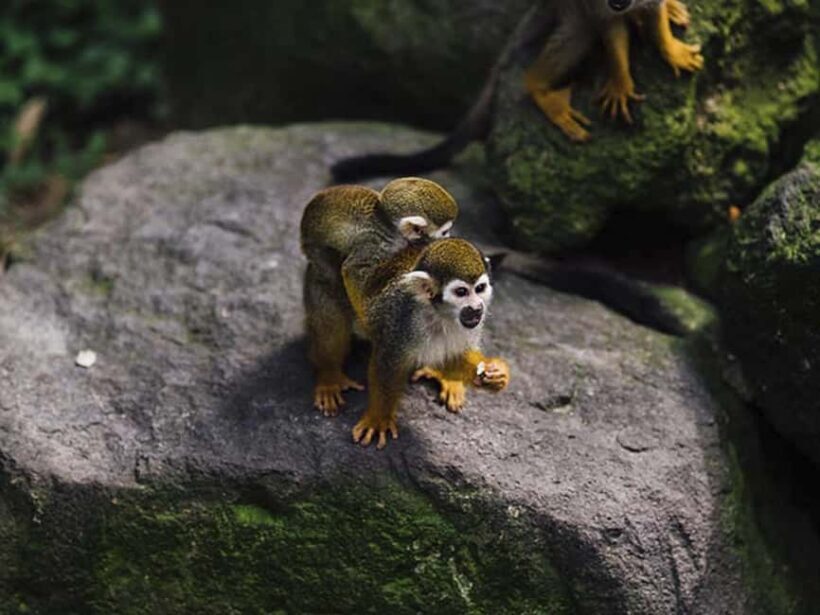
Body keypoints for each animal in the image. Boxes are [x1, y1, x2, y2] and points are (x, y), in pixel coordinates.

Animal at [300, 177, 459, 416]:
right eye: (444, 231)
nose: (449, 237)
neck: (389, 226)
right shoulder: (377, 243)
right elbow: (352, 271)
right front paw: (368, 321)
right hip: (318, 258)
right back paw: (329, 374)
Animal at [331, 0, 702, 182]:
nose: (620, 2)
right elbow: (605, 25)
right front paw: (621, 80)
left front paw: (667, 45)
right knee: (579, 30)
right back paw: (538, 88)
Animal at [348, 237, 510, 449]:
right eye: (461, 292)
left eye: (480, 289)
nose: (476, 308)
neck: (439, 314)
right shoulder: (401, 317)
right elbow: (387, 363)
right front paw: (379, 419)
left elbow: (457, 354)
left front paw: (495, 375)